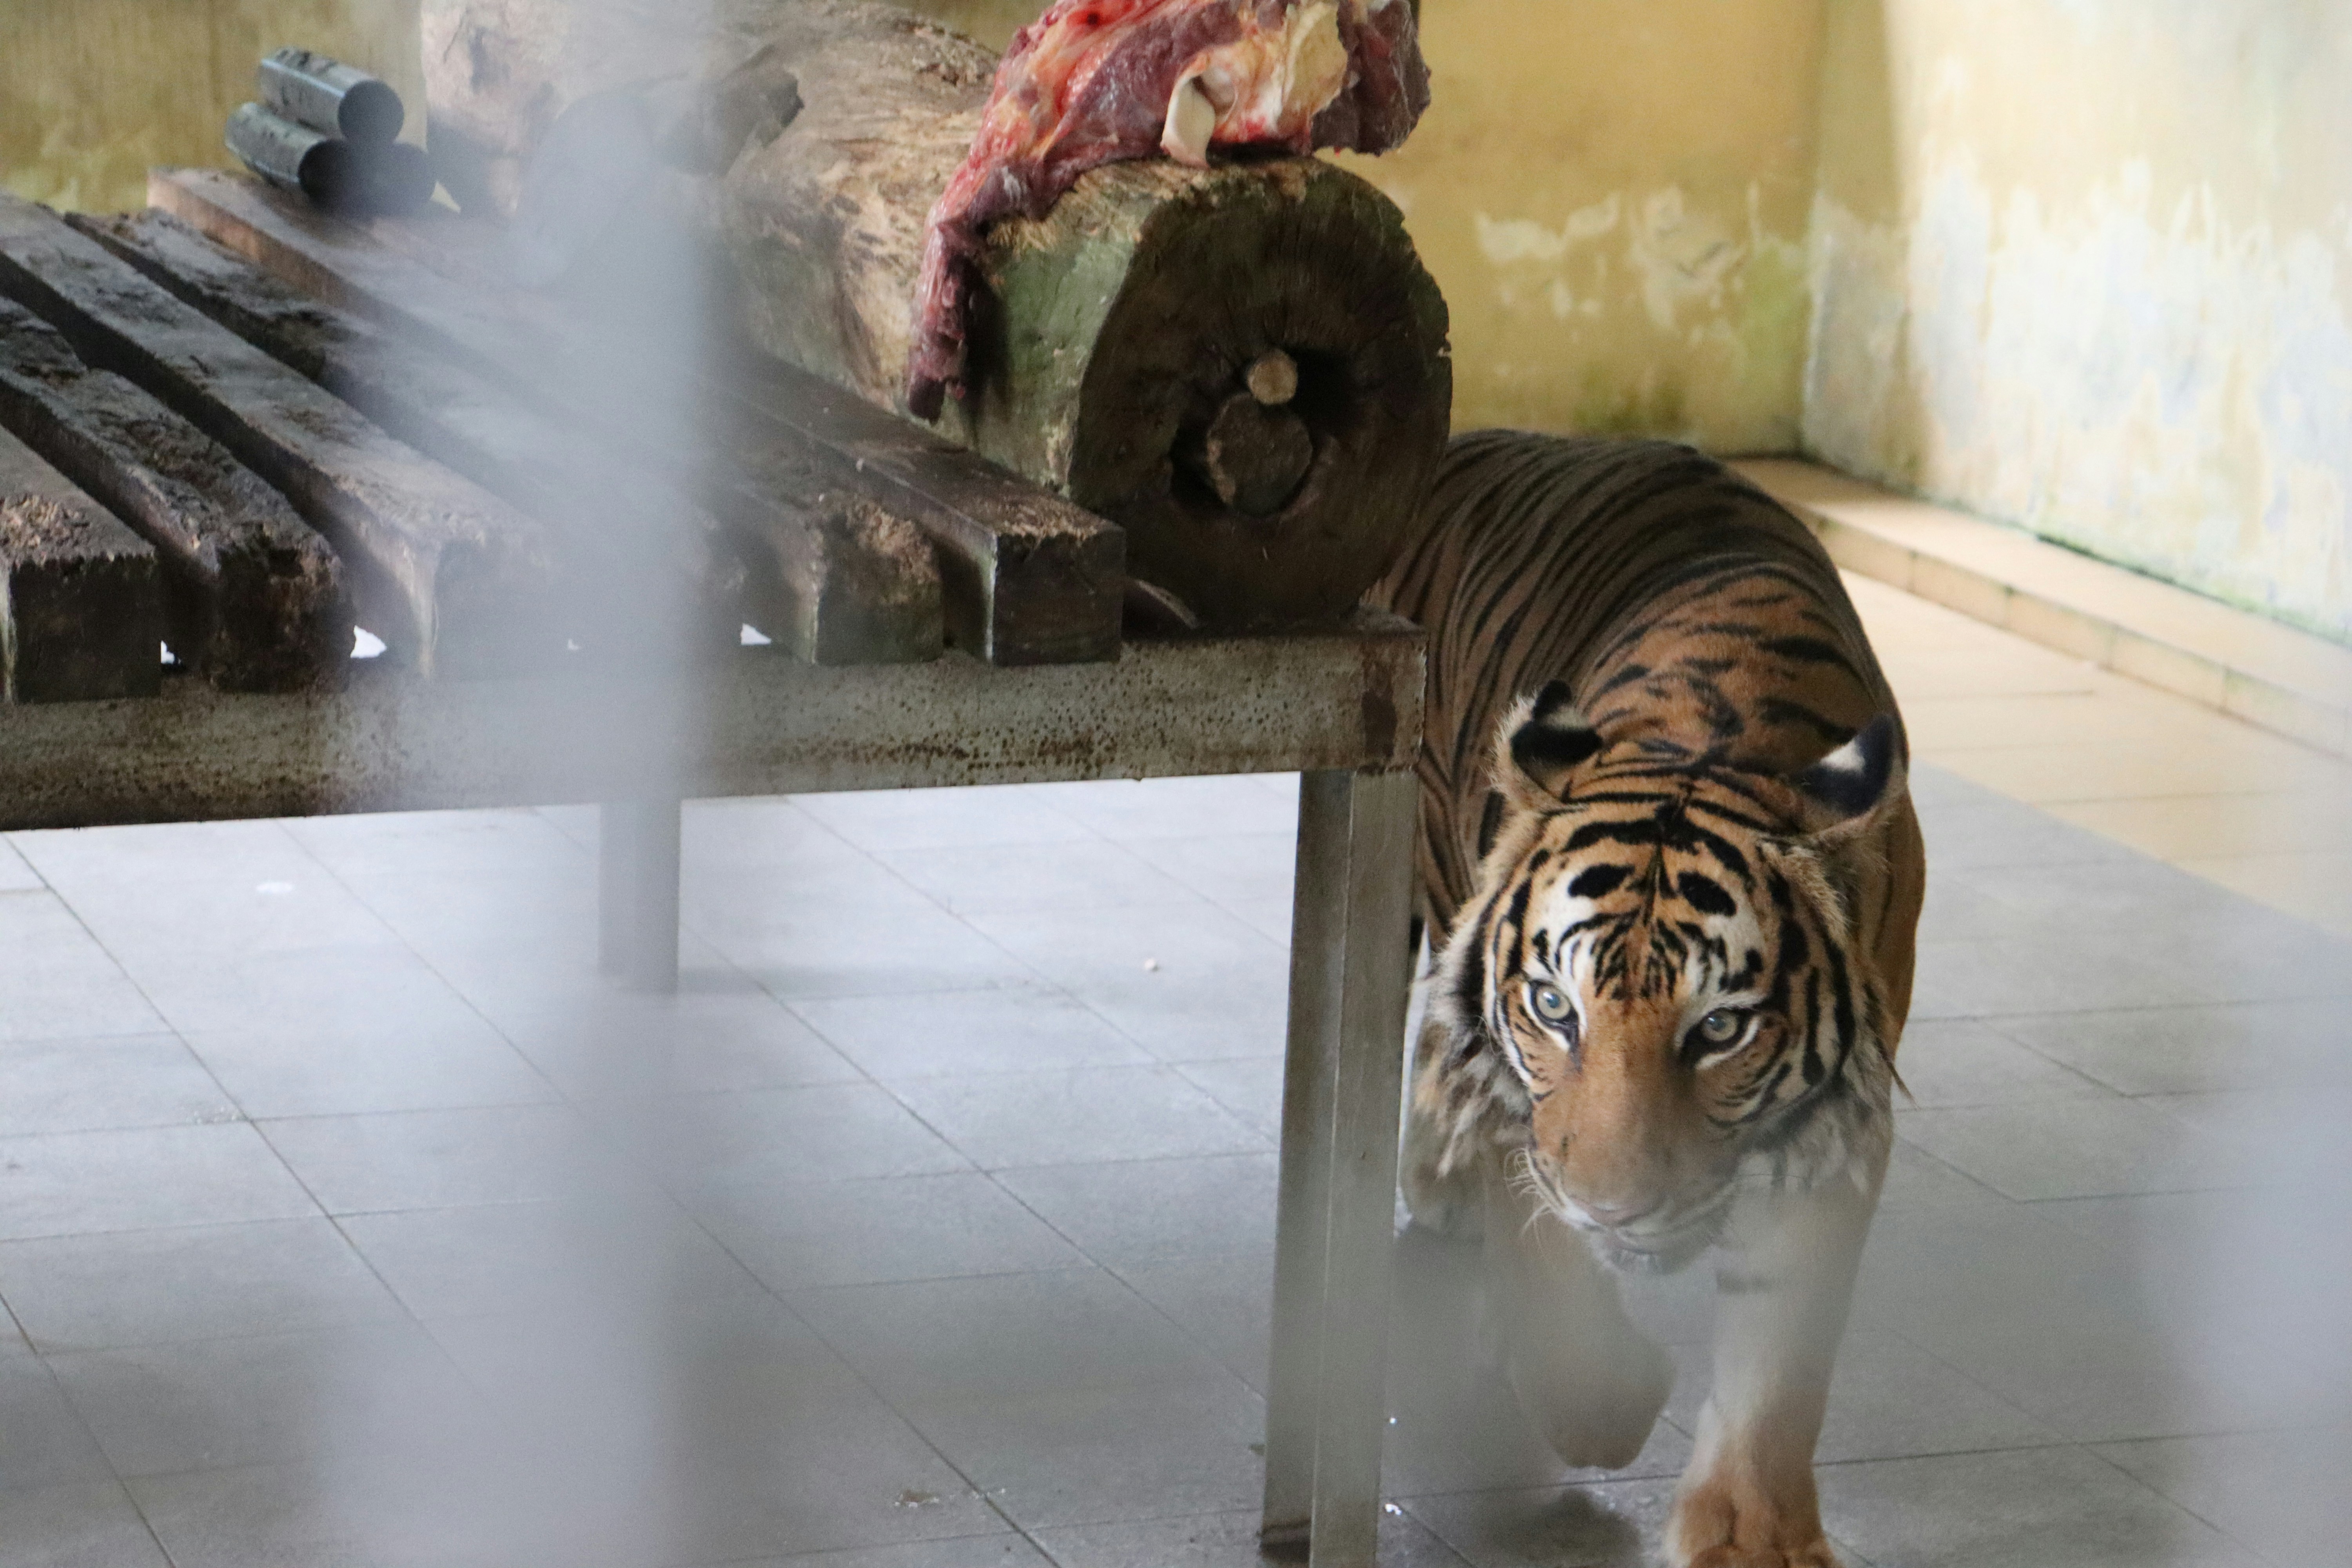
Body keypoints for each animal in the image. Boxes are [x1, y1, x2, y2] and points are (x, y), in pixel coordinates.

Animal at [1367, 431, 1926, 1568]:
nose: (1612, 1208)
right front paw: (1615, 1399)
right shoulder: (1523, 1094)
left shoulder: (1838, 1119)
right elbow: (1551, 1279)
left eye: (1720, 1030)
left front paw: (1754, 1538)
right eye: (1554, 1007)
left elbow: (1782, 1355)